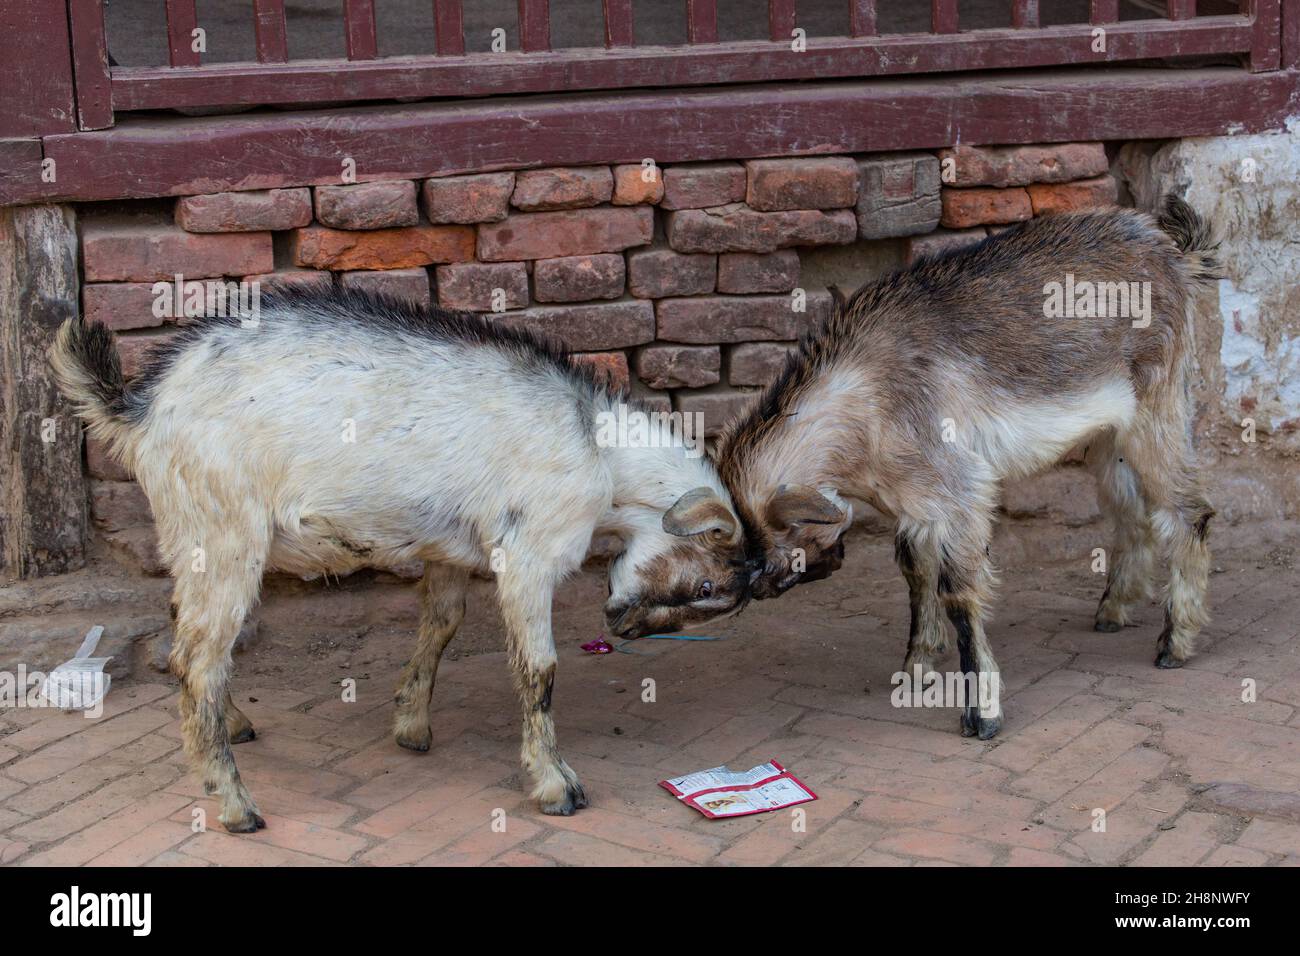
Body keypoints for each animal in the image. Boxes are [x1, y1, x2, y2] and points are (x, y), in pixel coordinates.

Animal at [50, 287, 751, 831]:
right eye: (705, 587)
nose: (623, 627)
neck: (601, 451)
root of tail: (141, 408)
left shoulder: (451, 549)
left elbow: (441, 624)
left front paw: (411, 725)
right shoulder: (531, 552)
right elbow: (539, 669)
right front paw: (556, 784)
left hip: (191, 535)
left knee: (185, 634)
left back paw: (234, 724)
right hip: (226, 532)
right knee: (199, 661)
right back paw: (235, 804)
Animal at [718, 197, 1219, 739]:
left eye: (774, 548)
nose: (760, 589)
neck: (866, 392)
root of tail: (1172, 252)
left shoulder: (961, 490)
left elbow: (956, 591)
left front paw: (982, 712)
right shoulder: (914, 502)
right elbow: (915, 573)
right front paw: (917, 667)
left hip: (1158, 404)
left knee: (1188, 510)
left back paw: (1175, 642)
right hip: (1108, 435)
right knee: (1134, 512)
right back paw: (1114, 609)